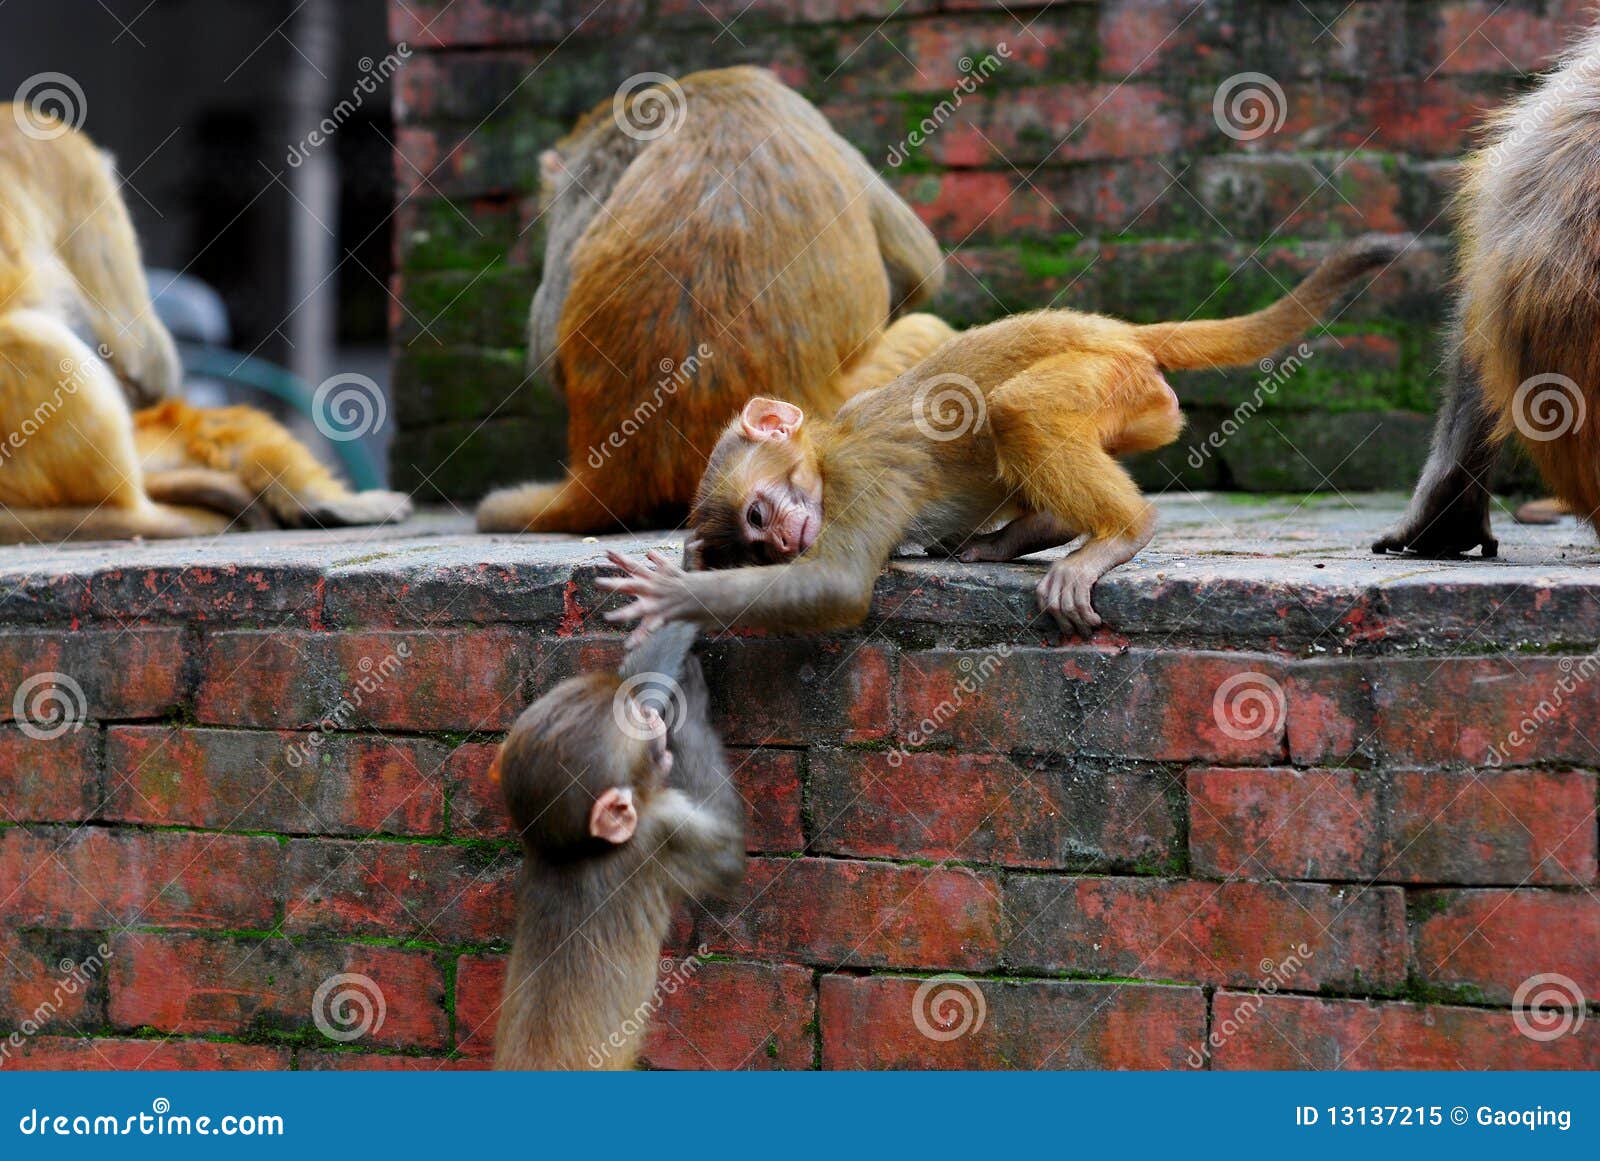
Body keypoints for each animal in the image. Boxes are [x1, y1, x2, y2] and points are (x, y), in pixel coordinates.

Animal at [493, 621, 745, 1070]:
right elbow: (728, 856)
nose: (657, 726)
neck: (578, 852)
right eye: (652, 745)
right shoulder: (659, 832)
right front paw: (690, 703)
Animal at [598, 235, 1407, 639]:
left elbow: (837, 583)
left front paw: (674, 592)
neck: (824, 448)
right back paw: (1028, 531)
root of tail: (1116, 332)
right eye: (755, 543)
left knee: (1018, 407)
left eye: (759, 515)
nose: (785, 540)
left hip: (1114, 378)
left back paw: (1121, 532)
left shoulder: (862, 474)